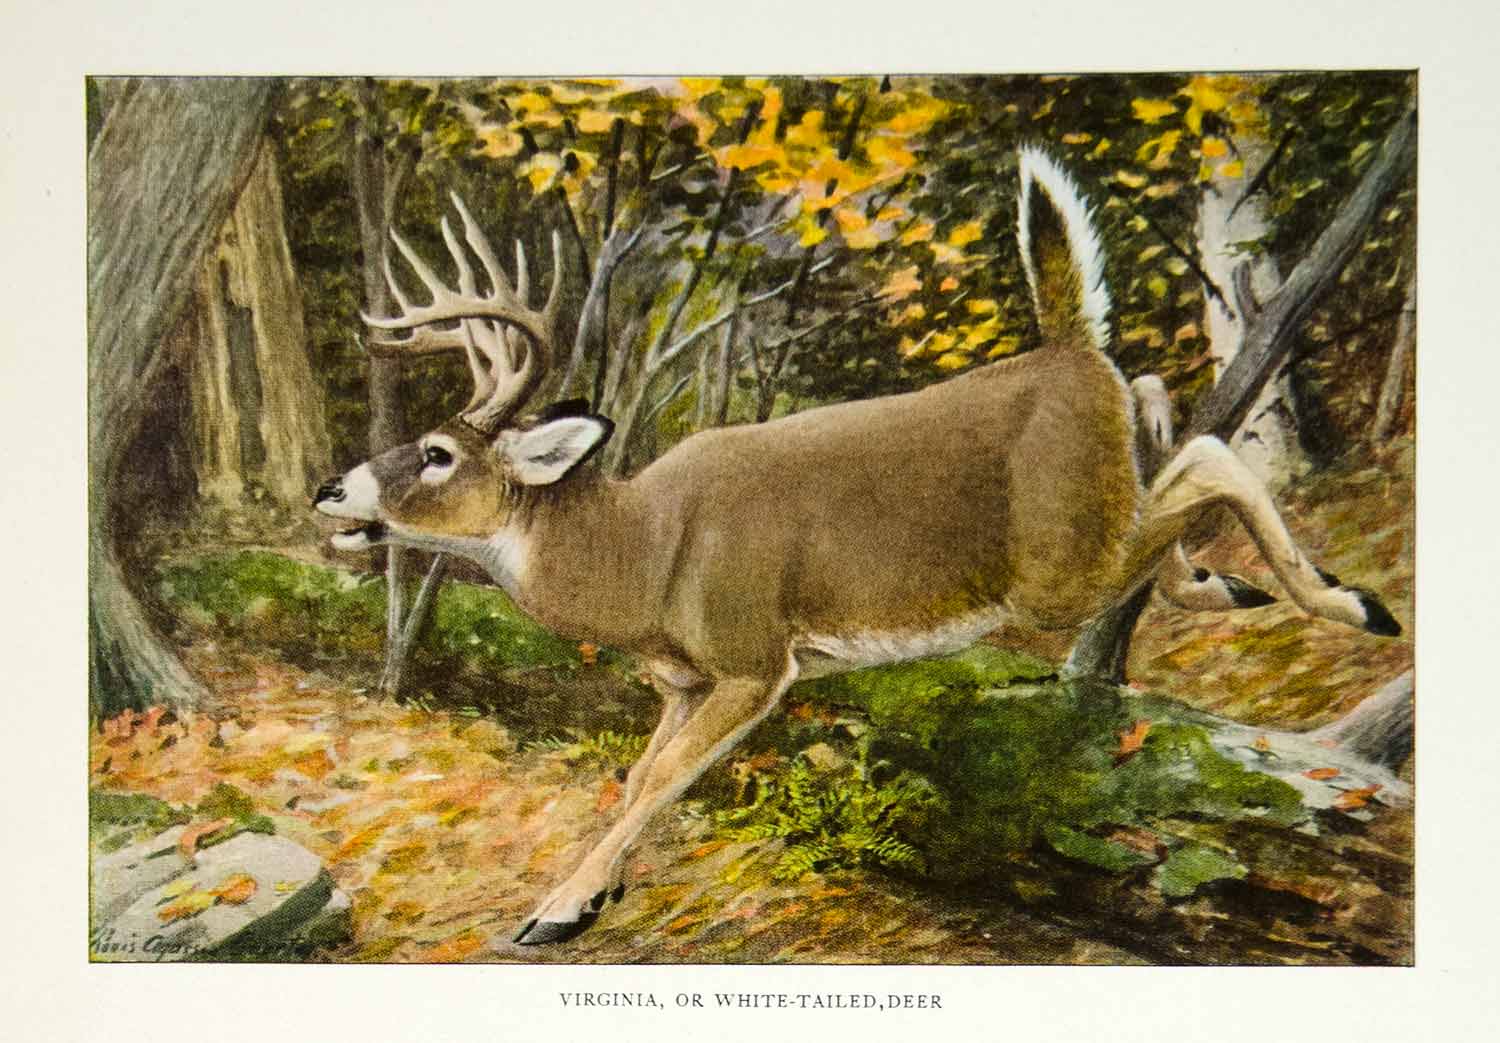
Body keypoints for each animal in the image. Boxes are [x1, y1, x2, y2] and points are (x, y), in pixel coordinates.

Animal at [314, 148, 1400, 945]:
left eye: (439, 451)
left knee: (1208, 457)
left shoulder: (755, 658)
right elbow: (635, 774)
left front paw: (554, 909)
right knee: (1161, 409)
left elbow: (661, 779)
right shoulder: (681, 682)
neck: (644, 557)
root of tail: (1066, 347)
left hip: (1054, 570)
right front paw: (590, 892)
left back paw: (1350, 600)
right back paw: (1224, 582)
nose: (330, 489)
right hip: (1094, 502)